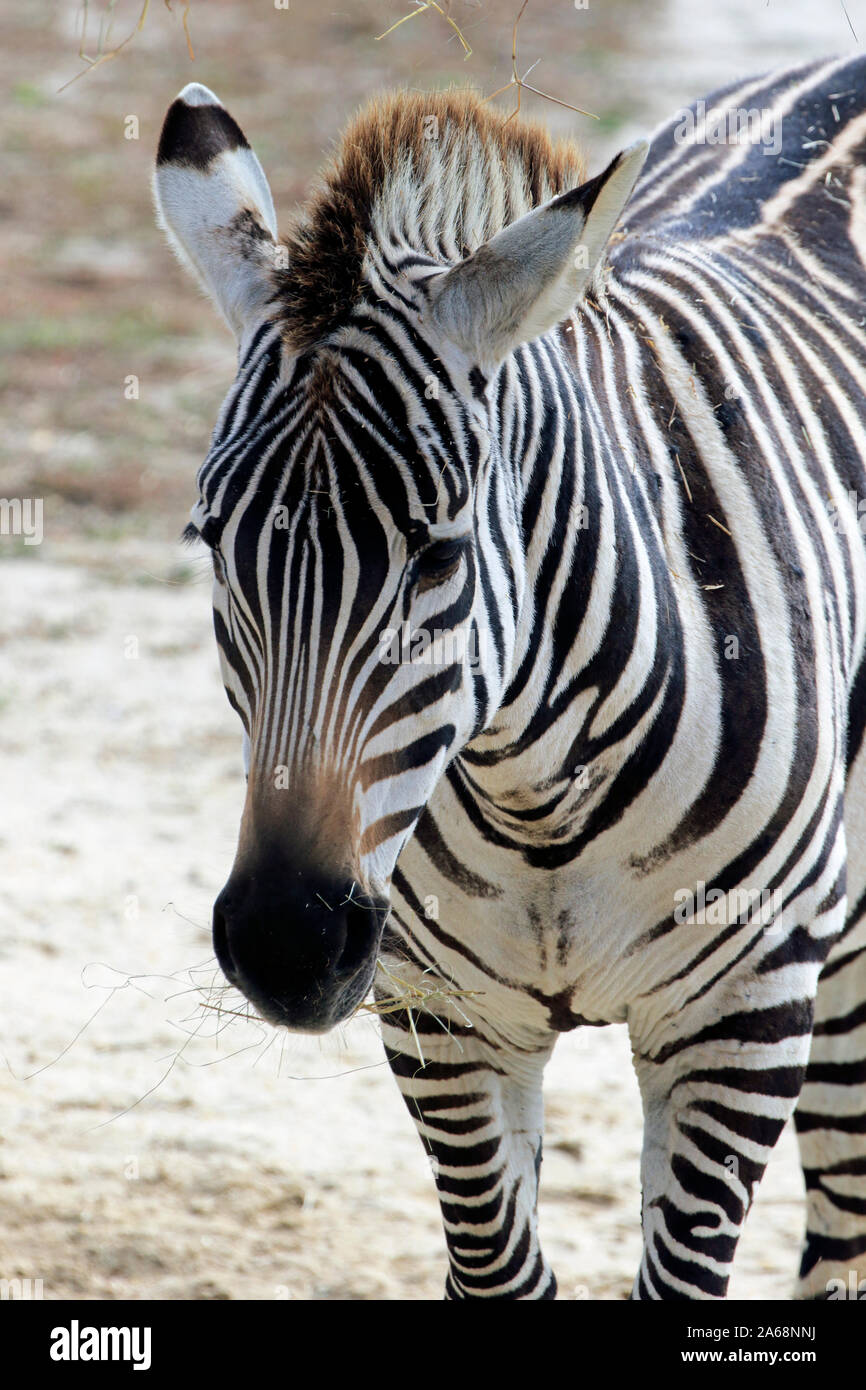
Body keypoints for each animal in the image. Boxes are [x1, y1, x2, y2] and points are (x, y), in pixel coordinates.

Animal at [154, 58, 866, 1300]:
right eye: (211, 545)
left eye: (437, 556)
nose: (286, 942)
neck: (536, 787)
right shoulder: (442, 1010)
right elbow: (496, 1267)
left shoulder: (739, 1013)